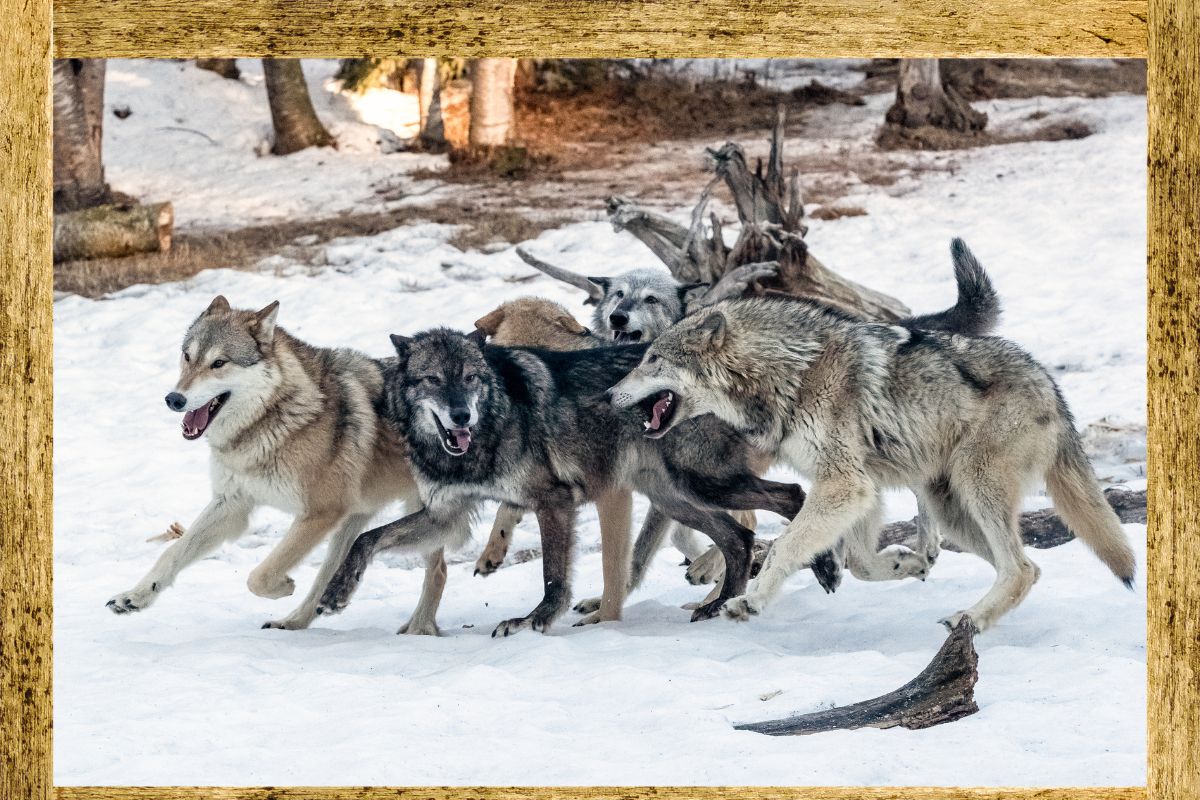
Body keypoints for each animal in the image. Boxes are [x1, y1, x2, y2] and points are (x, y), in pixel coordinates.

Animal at [104, 296, 442, 634]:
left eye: (219, 363)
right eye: (187, 356)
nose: (174, 399)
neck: (272, 419)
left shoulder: (319, 513)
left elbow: (259, 575)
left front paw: (284, 585)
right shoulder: (232, 504)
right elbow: (172, 551)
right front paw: (134, 596)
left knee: (438, 572)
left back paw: (419, 629)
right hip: (352, 522)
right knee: (328, 577)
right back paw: (293, 622)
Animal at [314, 329, 816, 636]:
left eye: (471, 378)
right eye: (433, 379)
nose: (461, 416)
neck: (487, 429)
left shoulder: (552, 501)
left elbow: (553, 574)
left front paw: (532, 621)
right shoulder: (445, 516)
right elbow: (365, 538)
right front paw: (336, 593)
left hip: (706, 484)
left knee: (791, 497)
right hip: (676, 497)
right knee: (738, 538)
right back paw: (716, 606)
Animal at [609, 239, 1136, 632]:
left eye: (651, 360)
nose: (611, 393)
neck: (792, 371)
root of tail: (1050, 385)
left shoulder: (845, 484)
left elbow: (784, 545)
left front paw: (750, 603)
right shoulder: (860, 487)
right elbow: (861, 562)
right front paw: (904, 565)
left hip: (975, 486)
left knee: (1022, 567)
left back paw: (968, 618)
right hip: (953, 506)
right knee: (1027, 566)